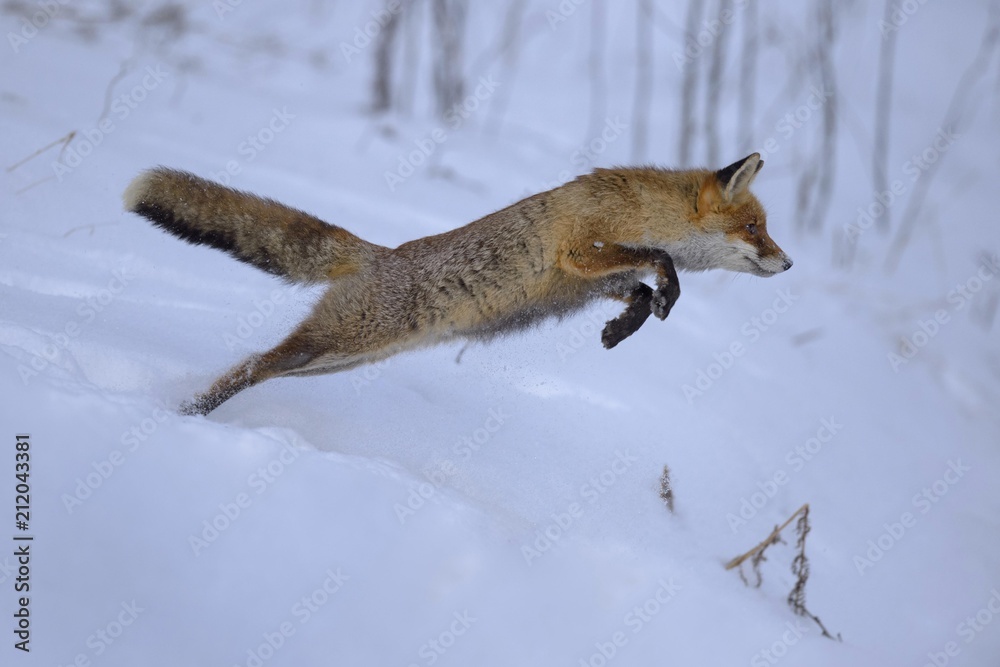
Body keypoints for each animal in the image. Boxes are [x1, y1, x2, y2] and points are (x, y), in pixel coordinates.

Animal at [123, 152, 791, 415]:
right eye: (755, 228)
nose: (788, 264)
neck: (643, 208)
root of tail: (380, 255)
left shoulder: (586, 279)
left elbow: (642, 287)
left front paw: (622, 327)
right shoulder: (582, 249)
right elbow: (662, 265)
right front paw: (662, 299)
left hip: (336, 361)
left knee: (259, 368)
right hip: (337, 343)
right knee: (253, 364)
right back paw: (186, 414)